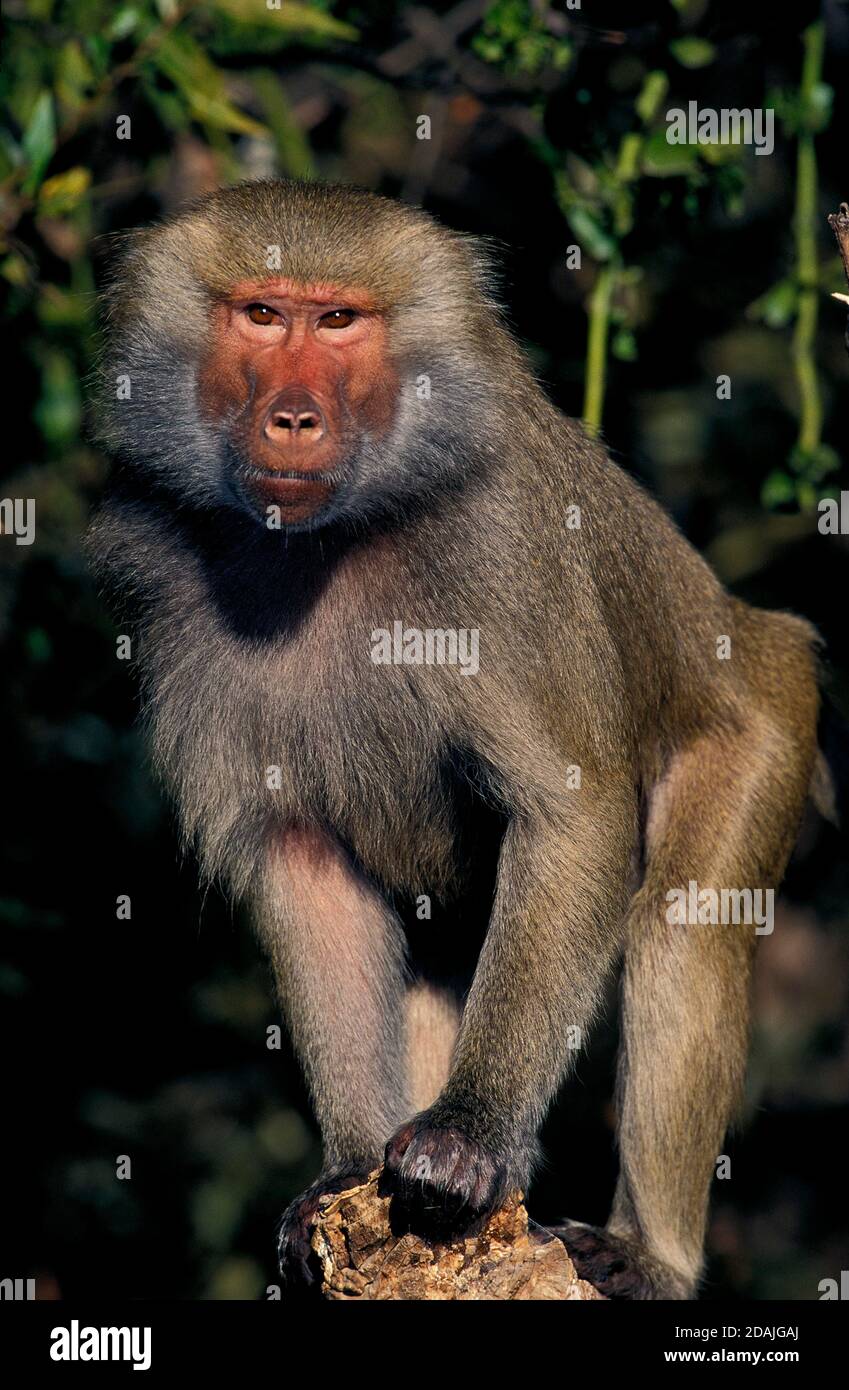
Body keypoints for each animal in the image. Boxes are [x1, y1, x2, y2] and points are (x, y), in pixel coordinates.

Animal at [87, 177, 831, 1300]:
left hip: (762, 721)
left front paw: (466, 1141)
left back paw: (648, 1255)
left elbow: (573, 814)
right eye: (261, 313)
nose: (293, 418)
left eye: (338, 320)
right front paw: (348, 1169)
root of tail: (746, 625)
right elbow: (304, 865)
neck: (335, 541)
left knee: (682, 925)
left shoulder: (501, 548)